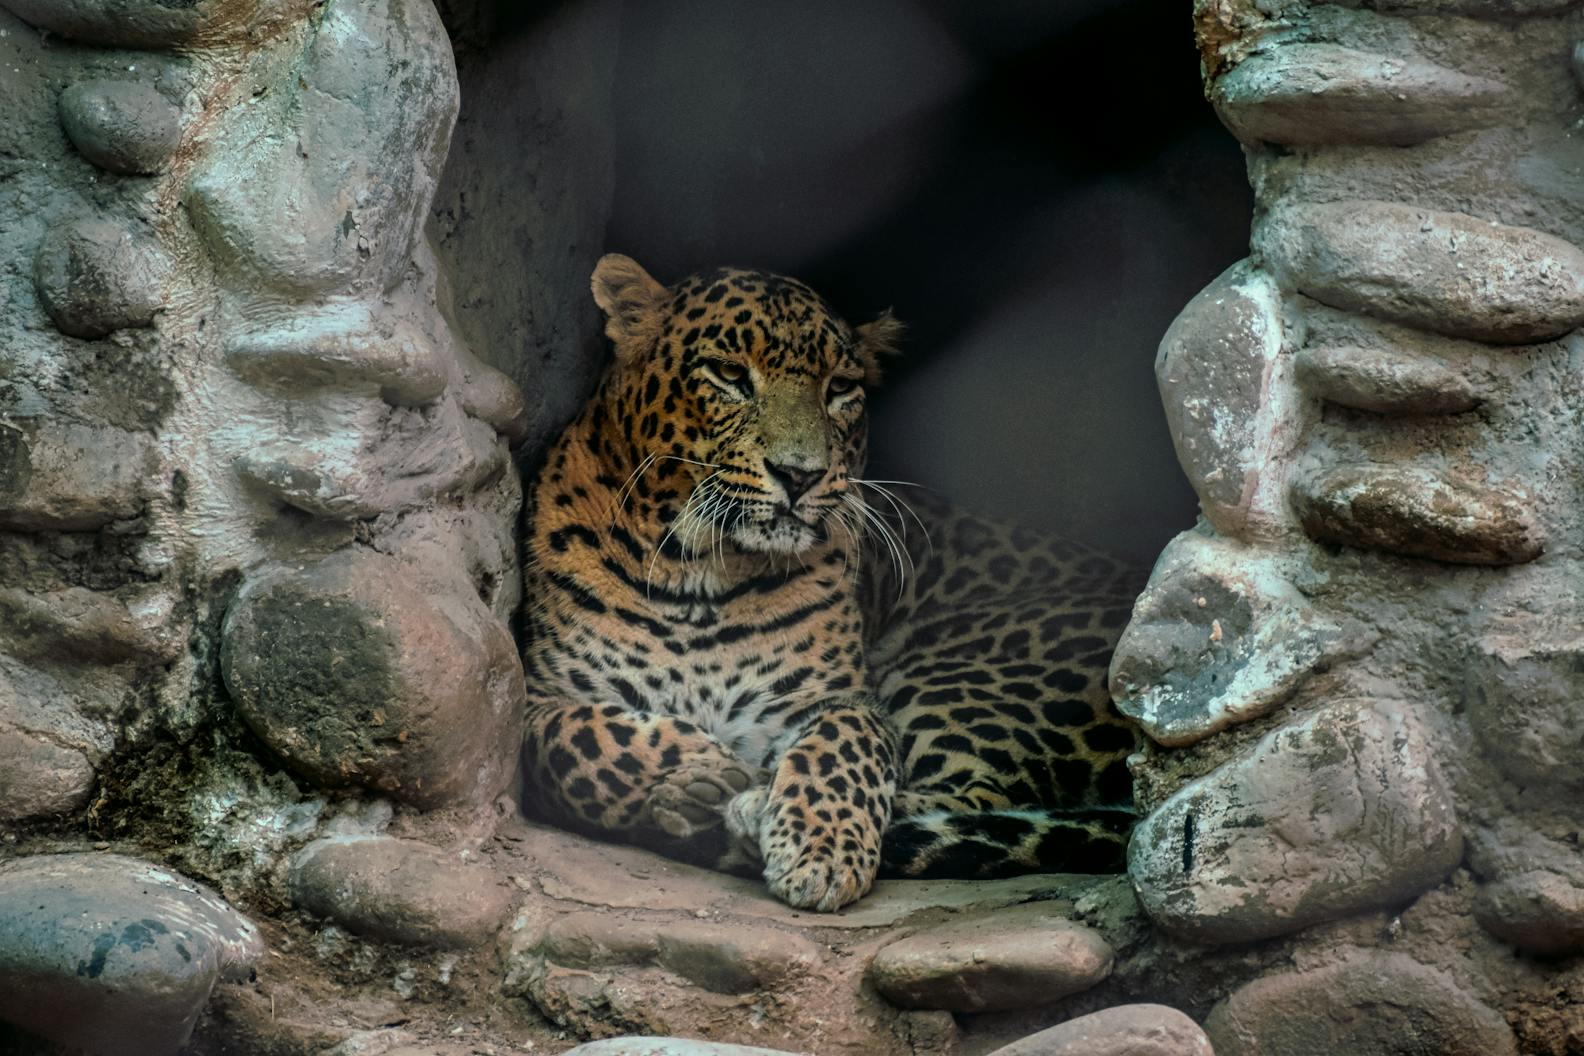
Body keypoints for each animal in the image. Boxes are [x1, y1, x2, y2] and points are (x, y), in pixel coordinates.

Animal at [519, 254, 1143, 912]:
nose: (800, 474)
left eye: (840, 389)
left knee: (978, 795)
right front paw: (700, 774)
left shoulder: (835, 698)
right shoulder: (540, 696)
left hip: (955, 668)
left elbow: (846, 745)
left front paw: (820, 849)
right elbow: (578, 739)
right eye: (729, 373)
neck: (700, 575)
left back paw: (746, 807)